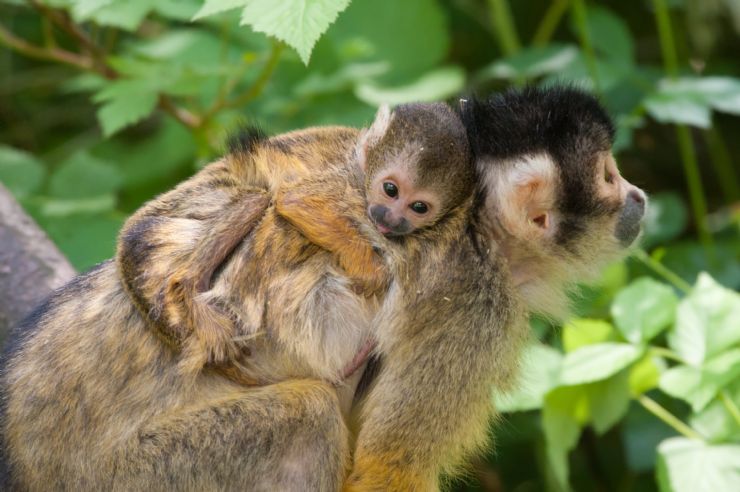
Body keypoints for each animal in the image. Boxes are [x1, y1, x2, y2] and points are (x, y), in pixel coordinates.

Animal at [0, 86, 647, 491]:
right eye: (610, 177)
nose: (639, 197)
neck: (476, 226)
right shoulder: (472, 307)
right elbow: (387, 470)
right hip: (134, 477)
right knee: (306, 418)